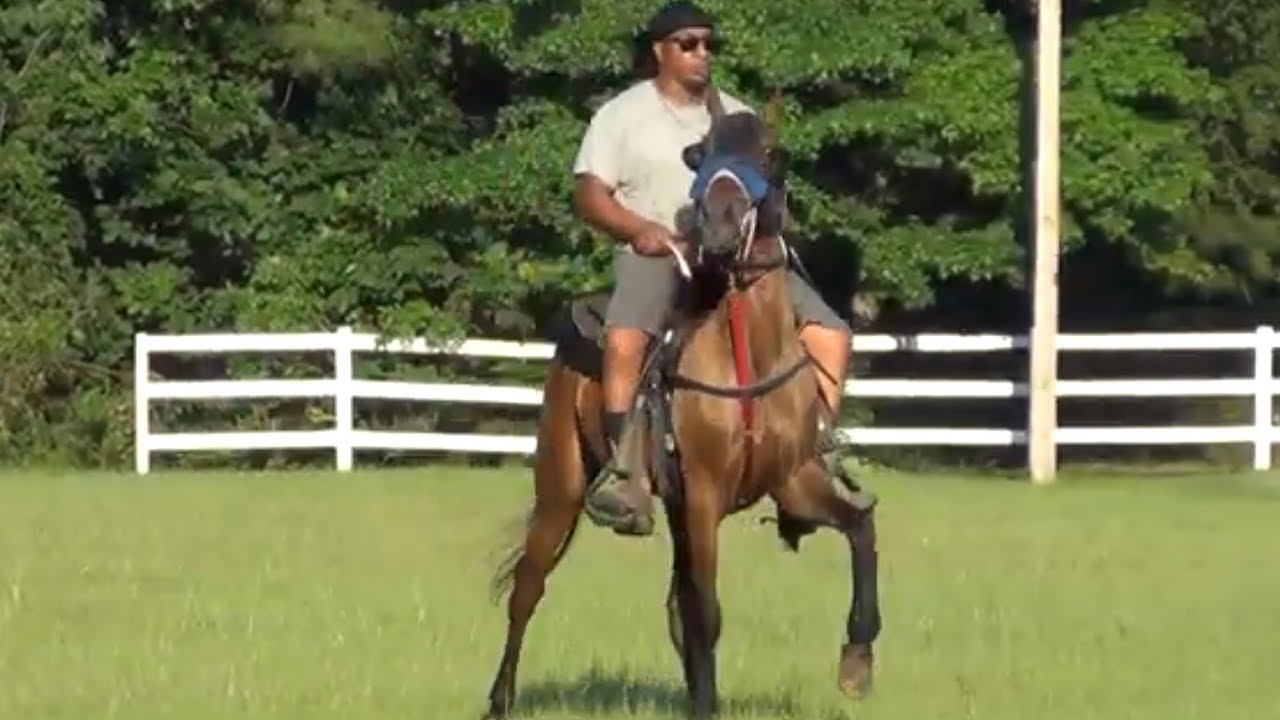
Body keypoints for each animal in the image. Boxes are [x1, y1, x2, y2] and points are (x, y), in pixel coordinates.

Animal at [482, 100, 882, 720]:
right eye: (701, 155)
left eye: (769, 155)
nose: (718, 225)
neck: (746, 355)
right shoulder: (702, 496)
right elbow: (706, 614)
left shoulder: (793, 482)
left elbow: (861, 529)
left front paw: (857, 663)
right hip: (561, 490)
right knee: (528, 588)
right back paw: (499, 700)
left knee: (672, 605)